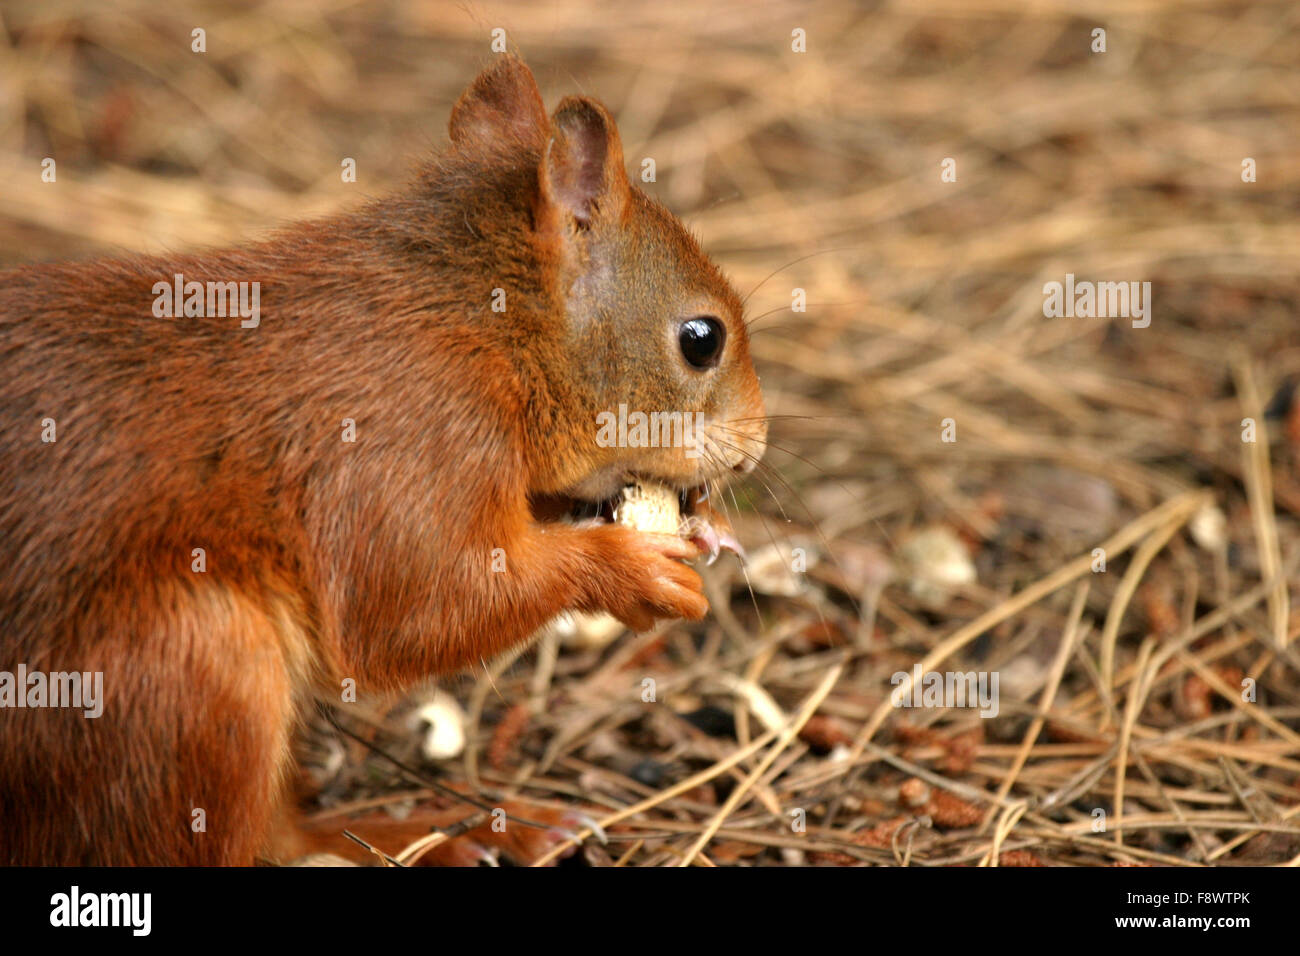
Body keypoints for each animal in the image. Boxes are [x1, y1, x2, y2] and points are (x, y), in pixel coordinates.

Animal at [0, 54, 766, 865]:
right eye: (701, 339)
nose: (752, 455)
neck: (487, 326)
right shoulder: (411, 437)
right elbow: (415, 608)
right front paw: (631, 569)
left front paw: (707, 528)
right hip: (195, 660)